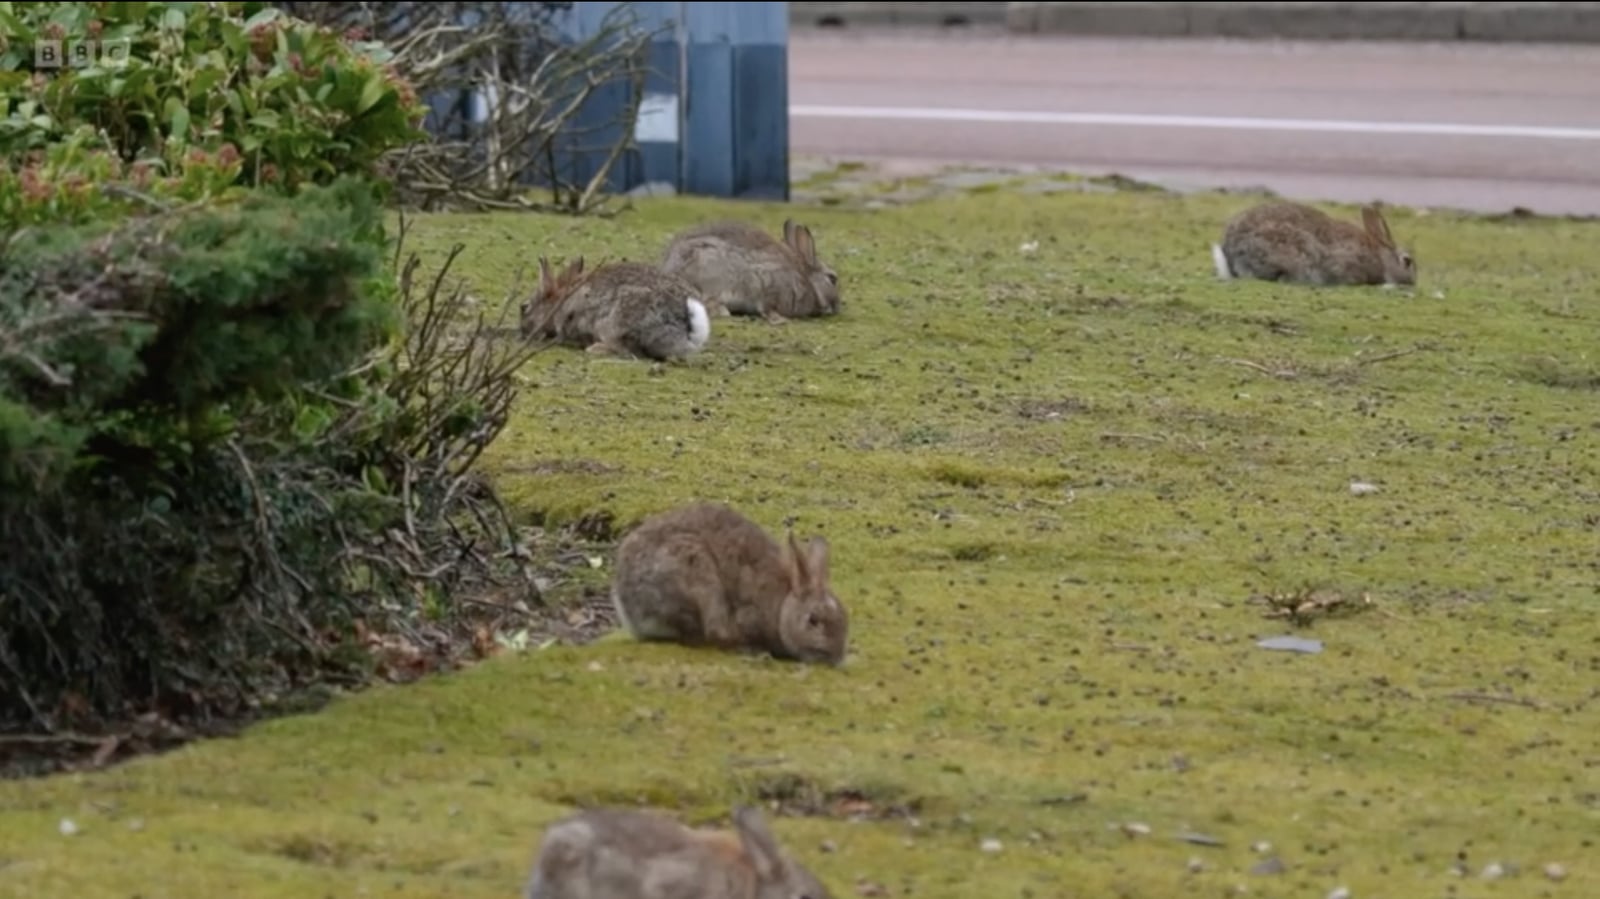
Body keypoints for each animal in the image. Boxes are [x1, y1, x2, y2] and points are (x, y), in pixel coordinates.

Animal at [520, 256, 712, 361]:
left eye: (524, 307)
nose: (522, 331)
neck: (560, 301)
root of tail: (688, 329)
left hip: (618, 321)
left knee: (628, 350)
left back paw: (595, 348)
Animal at [659, 219, 841, 324]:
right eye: (832, 278)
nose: (838, 307)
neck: (807, 281)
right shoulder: (769, 285)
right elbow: (767, 307)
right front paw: (779, 319)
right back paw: (723, 311)